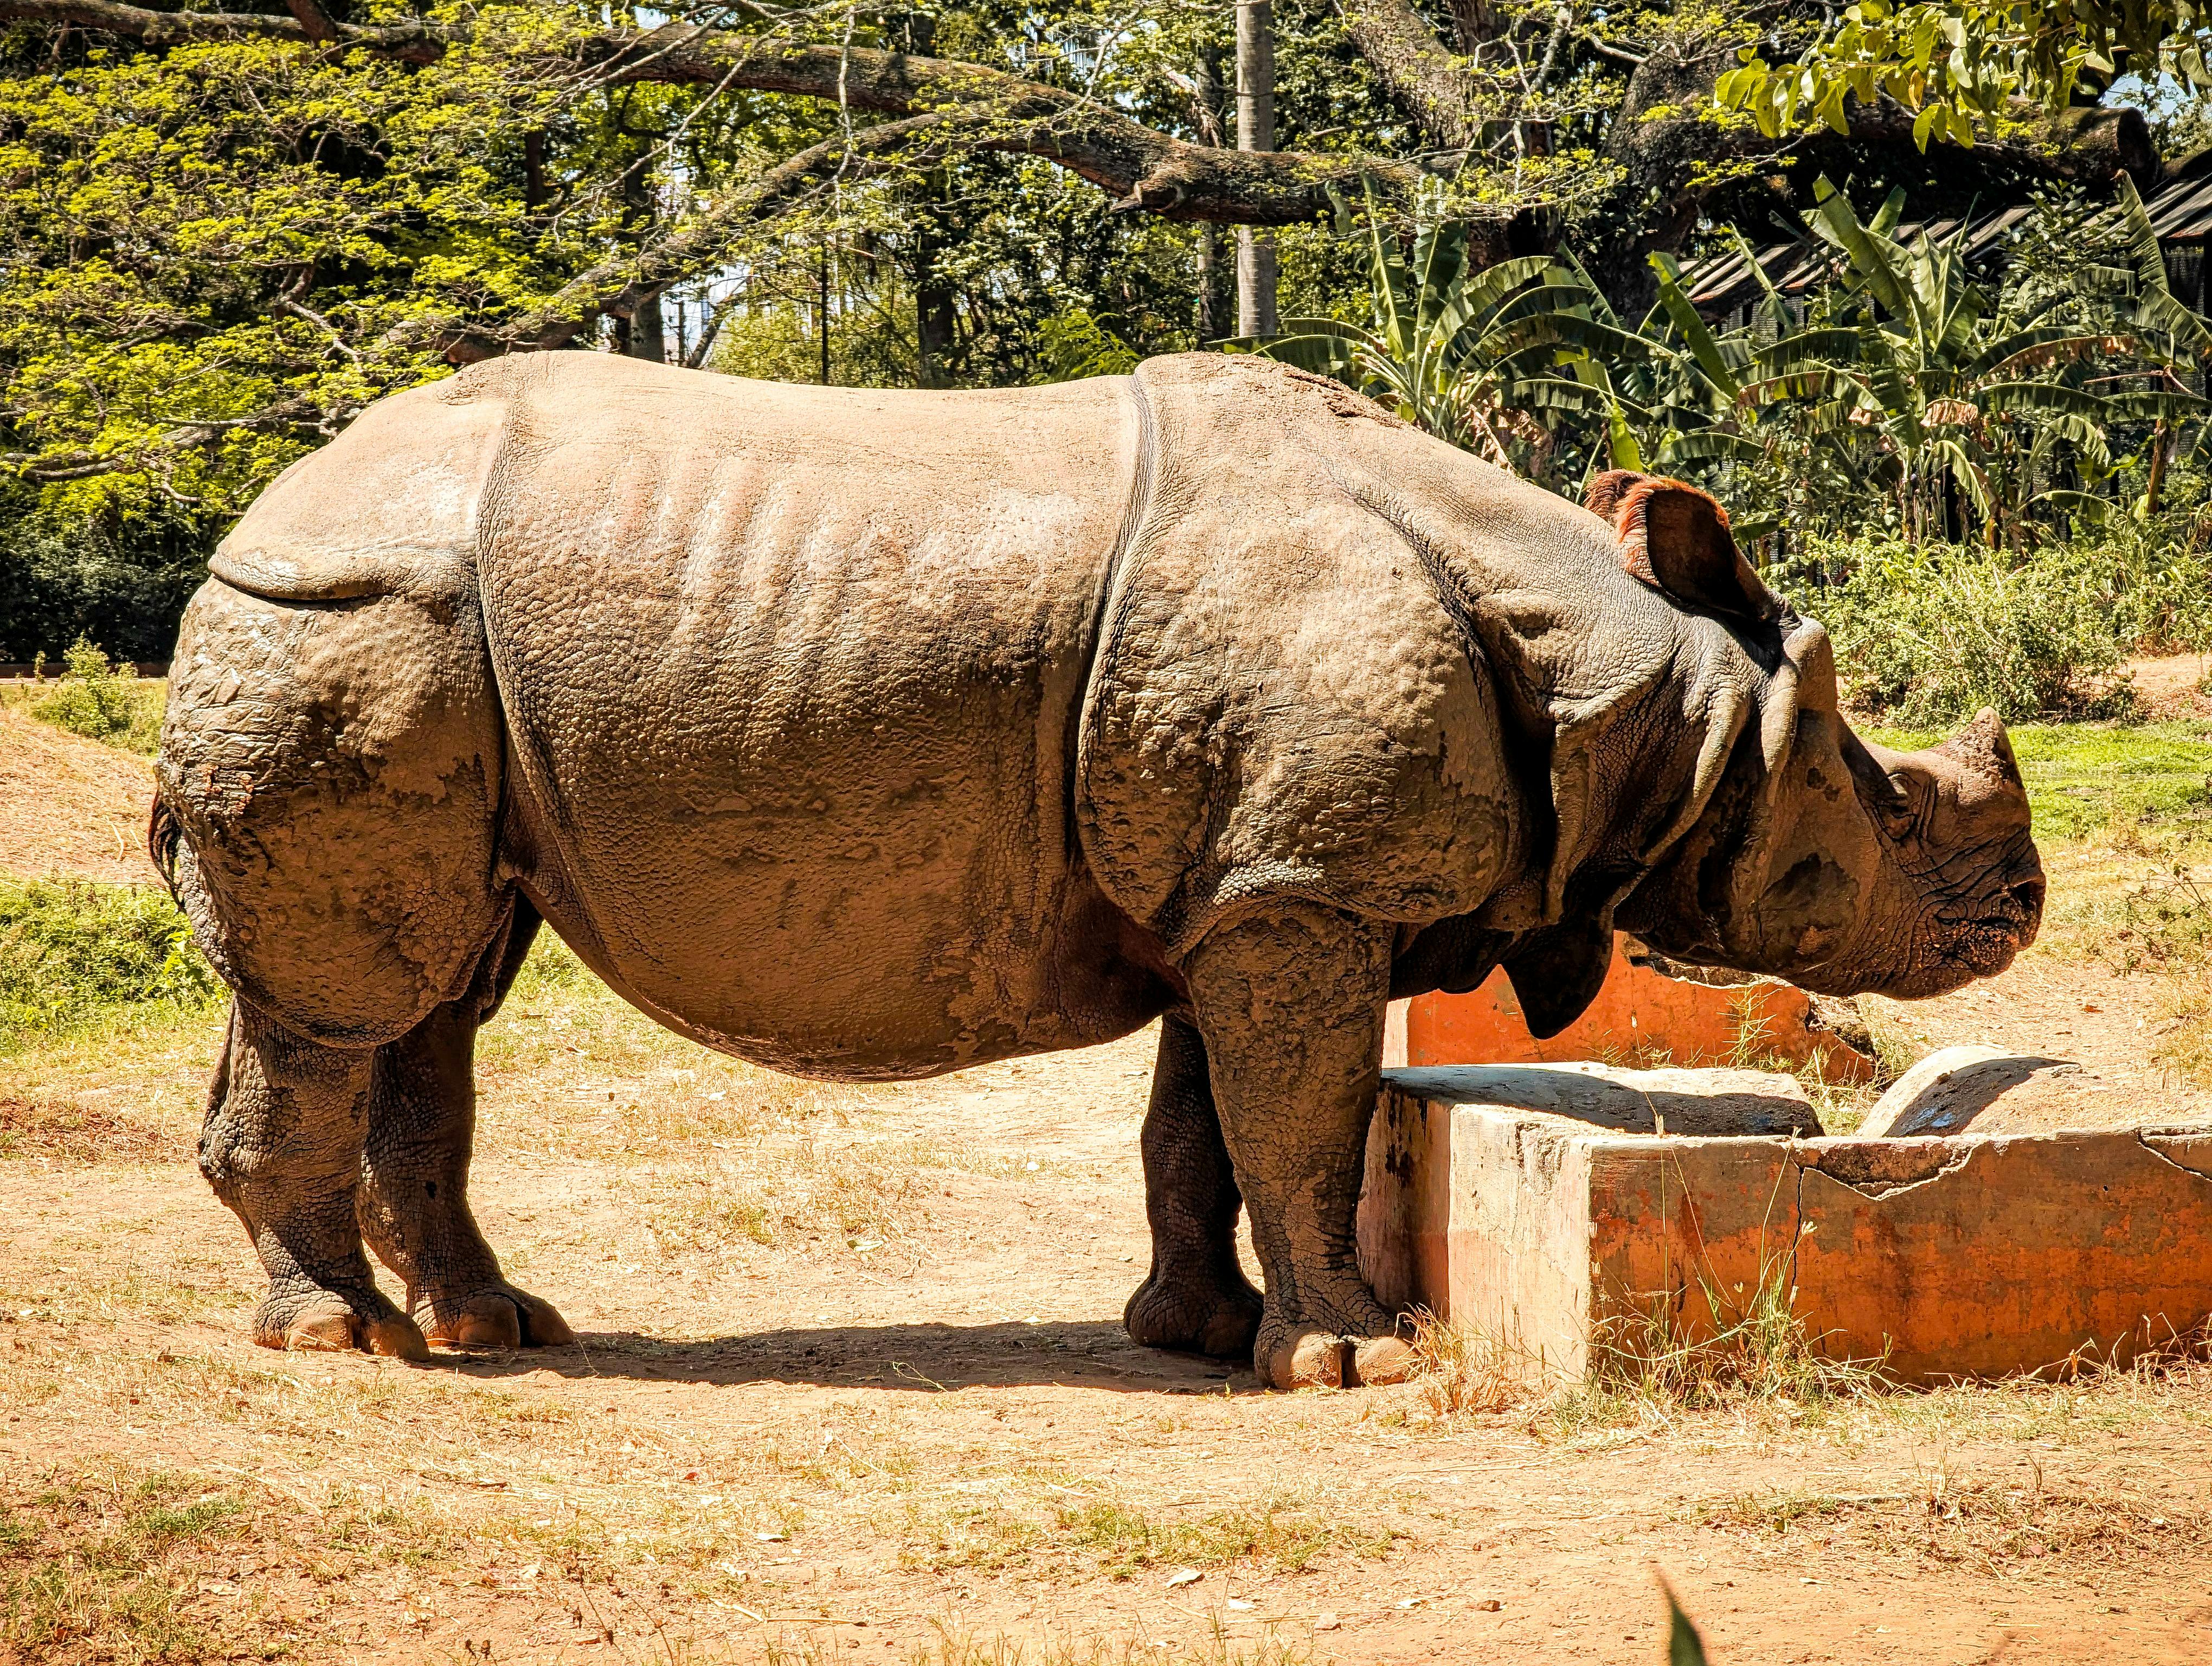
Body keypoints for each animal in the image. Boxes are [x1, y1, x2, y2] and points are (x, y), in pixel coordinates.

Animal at [152, 352, 2043, 1390]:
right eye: (1873, 806)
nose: (2023, 910)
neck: (1621, 660)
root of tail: (251, 518)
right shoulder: (1300, 888)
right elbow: (1298, 1117)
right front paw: (1362, 1362)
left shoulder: (1248, 883)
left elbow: (1207, 1121)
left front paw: (1203, 1335)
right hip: (348, 628)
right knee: (350, 1001)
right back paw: (345, 1342)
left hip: (412, 651)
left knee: (440, 994)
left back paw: (493, 1328)